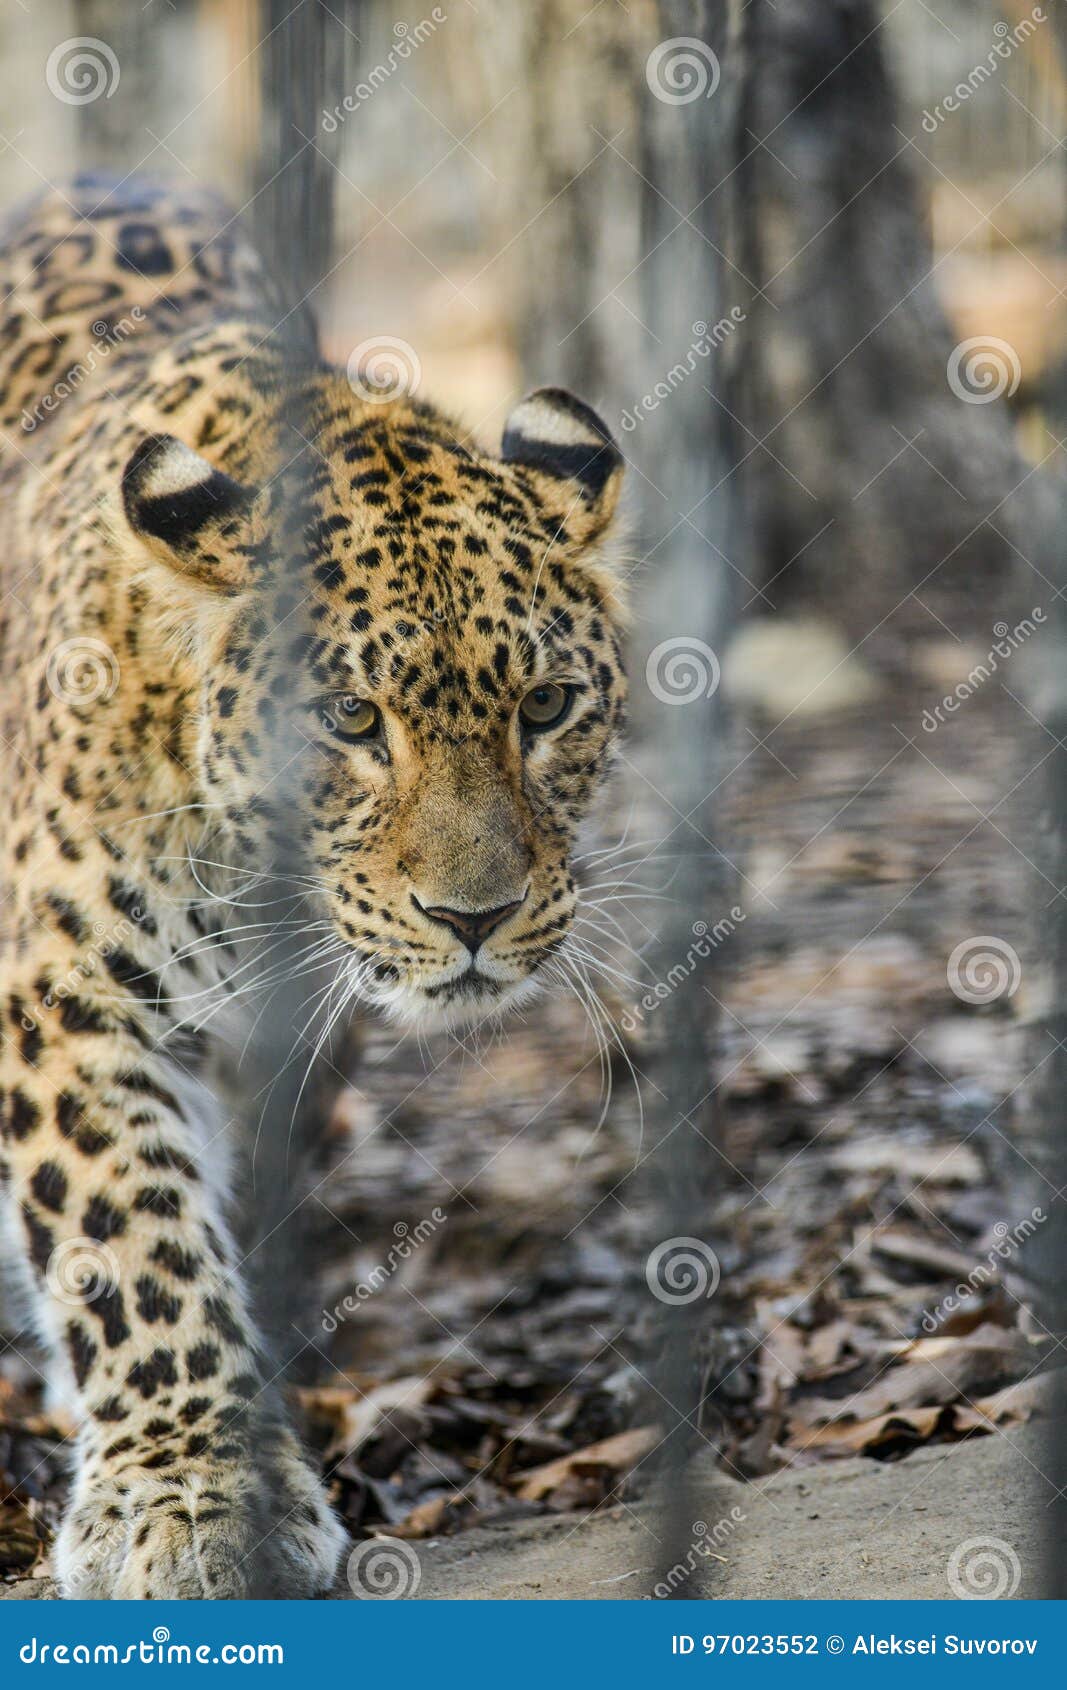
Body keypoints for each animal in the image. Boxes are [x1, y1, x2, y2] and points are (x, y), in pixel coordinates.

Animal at [0, 175, 628, 1598]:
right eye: (350, 718)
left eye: (546, 707)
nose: (474, 917)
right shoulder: (55, 987)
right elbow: (127, 1230)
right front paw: (185, 1487)